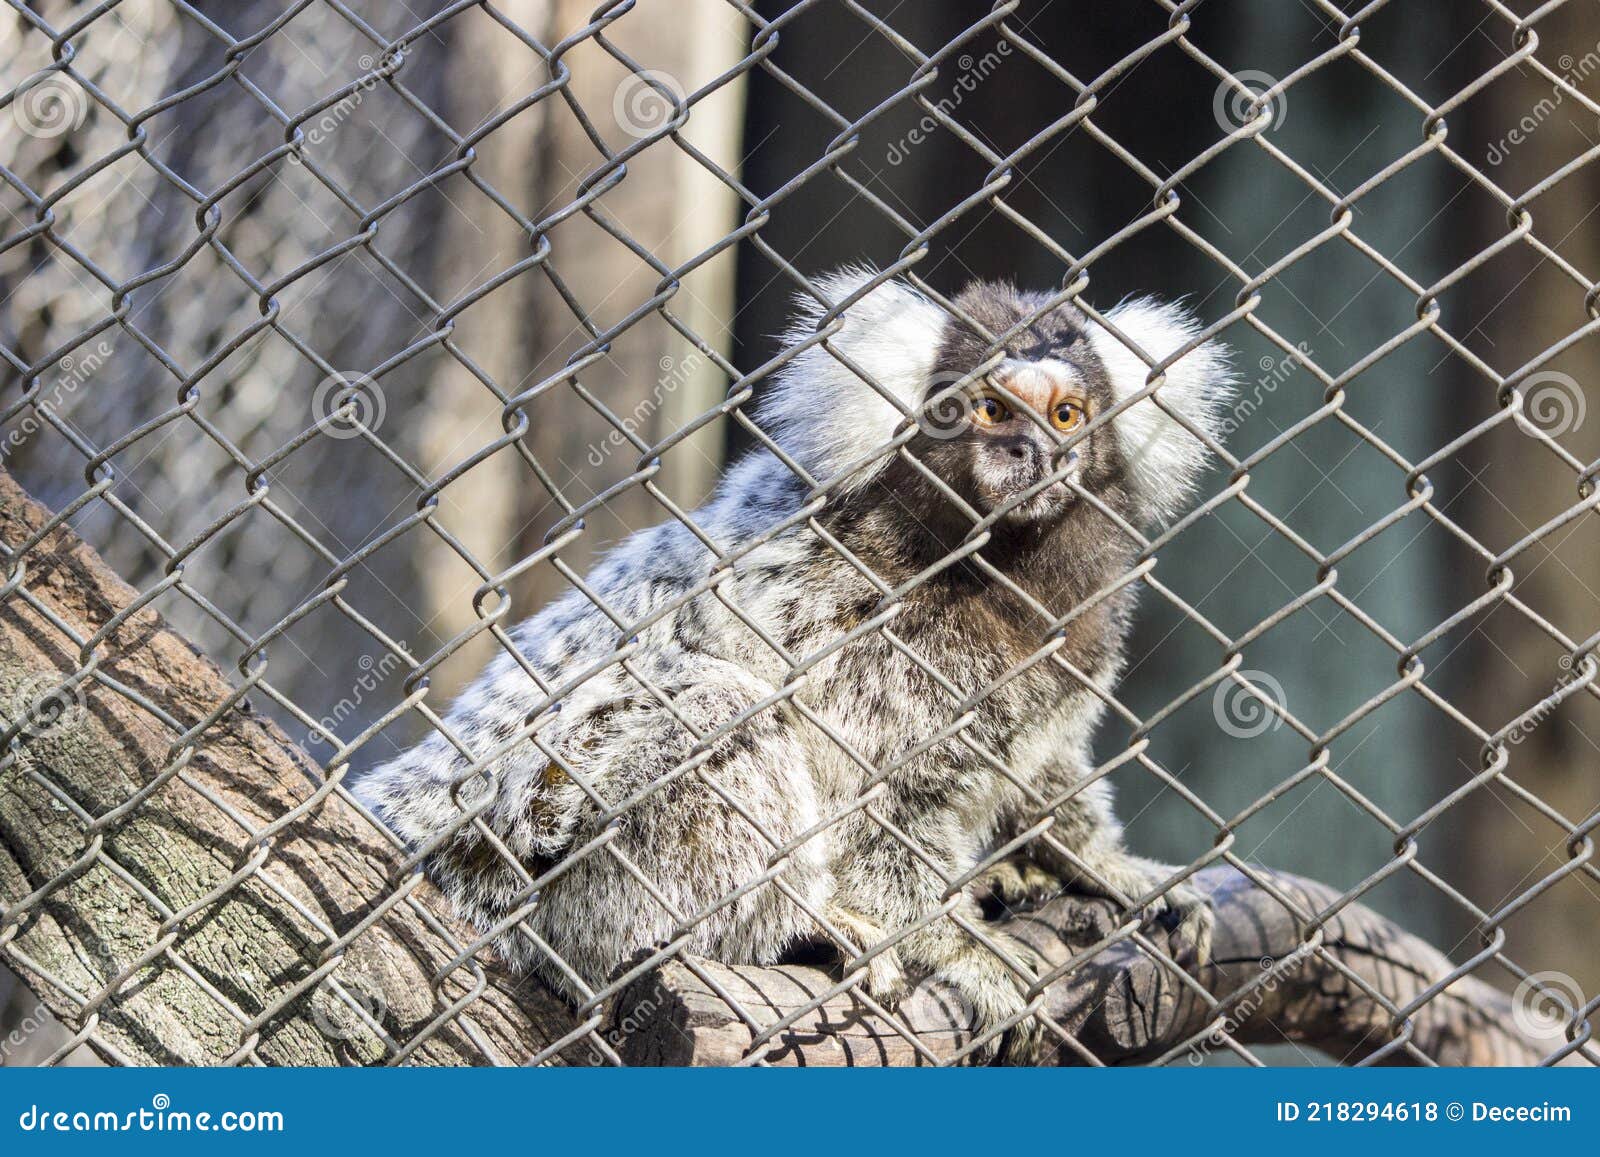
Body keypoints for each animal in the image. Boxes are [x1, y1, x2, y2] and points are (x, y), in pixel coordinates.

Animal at [355, 265, 1235, 1063]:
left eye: (1066, 413)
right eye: (991, 409)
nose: (1035, 452)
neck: (990, 563)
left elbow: (1041, 764)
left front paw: (1099, 863)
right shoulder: (866, 643)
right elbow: (877, 812)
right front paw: (959, 947)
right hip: (539, 847)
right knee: (715, 711)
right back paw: (796, 926)